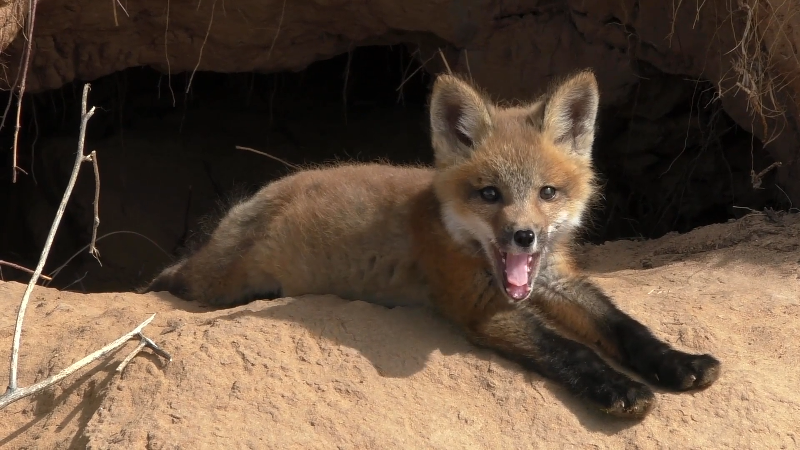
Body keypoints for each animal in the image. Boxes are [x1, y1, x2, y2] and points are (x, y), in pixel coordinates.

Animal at [142, 69, 721, 419]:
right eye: (490, 194)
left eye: (547, 192)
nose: (524, 235)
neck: (455, 235)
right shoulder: (478, 307)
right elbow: (567, 348)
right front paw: (620, 389)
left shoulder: (555, 279)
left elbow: (625, 328)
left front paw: (679, 364)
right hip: (218, 284)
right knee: (176, 281)